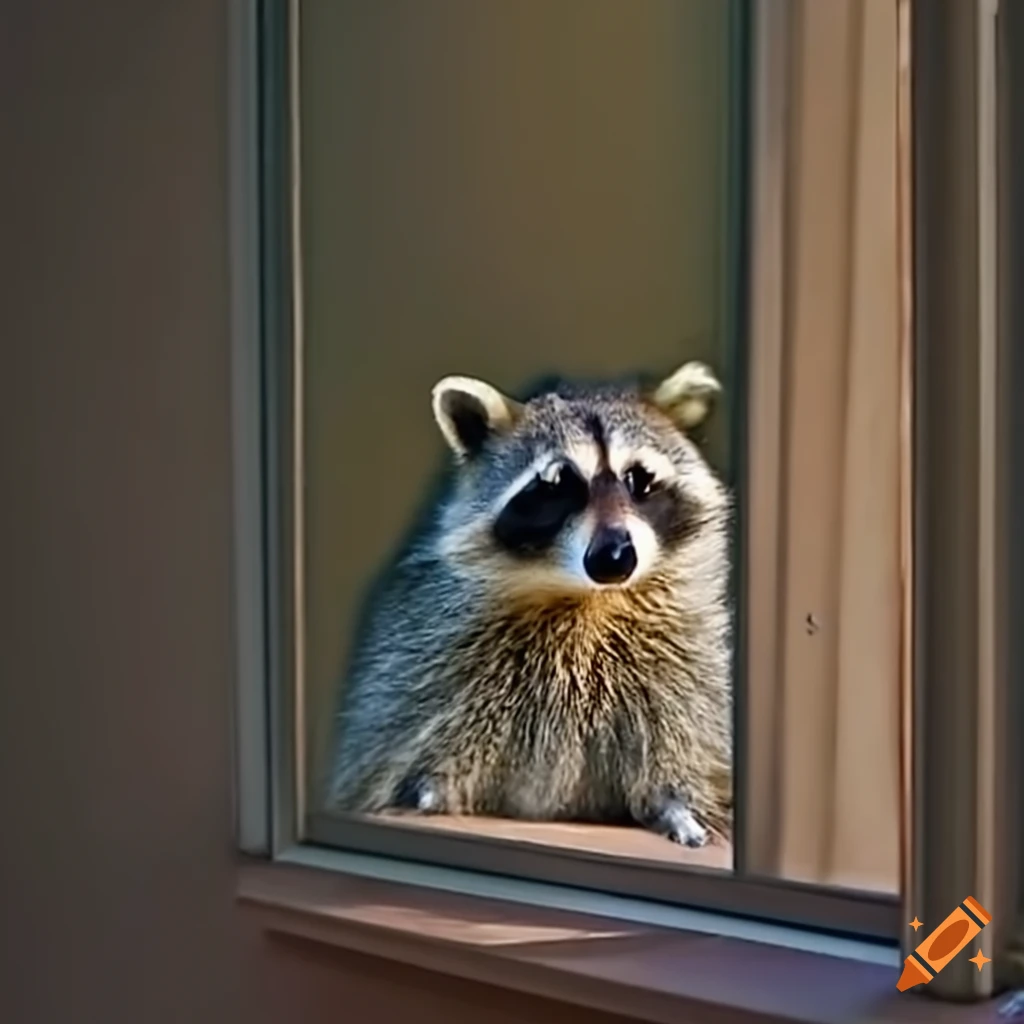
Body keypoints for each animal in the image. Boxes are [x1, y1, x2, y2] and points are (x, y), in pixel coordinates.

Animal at [327, 361, 733, 846]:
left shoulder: (682, 671)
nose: (614, 556)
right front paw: (427, 794)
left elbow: (679, 740)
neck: (587, 600)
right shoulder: (429, 669)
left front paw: (678, 805)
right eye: (557, 485)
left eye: (639, 479)